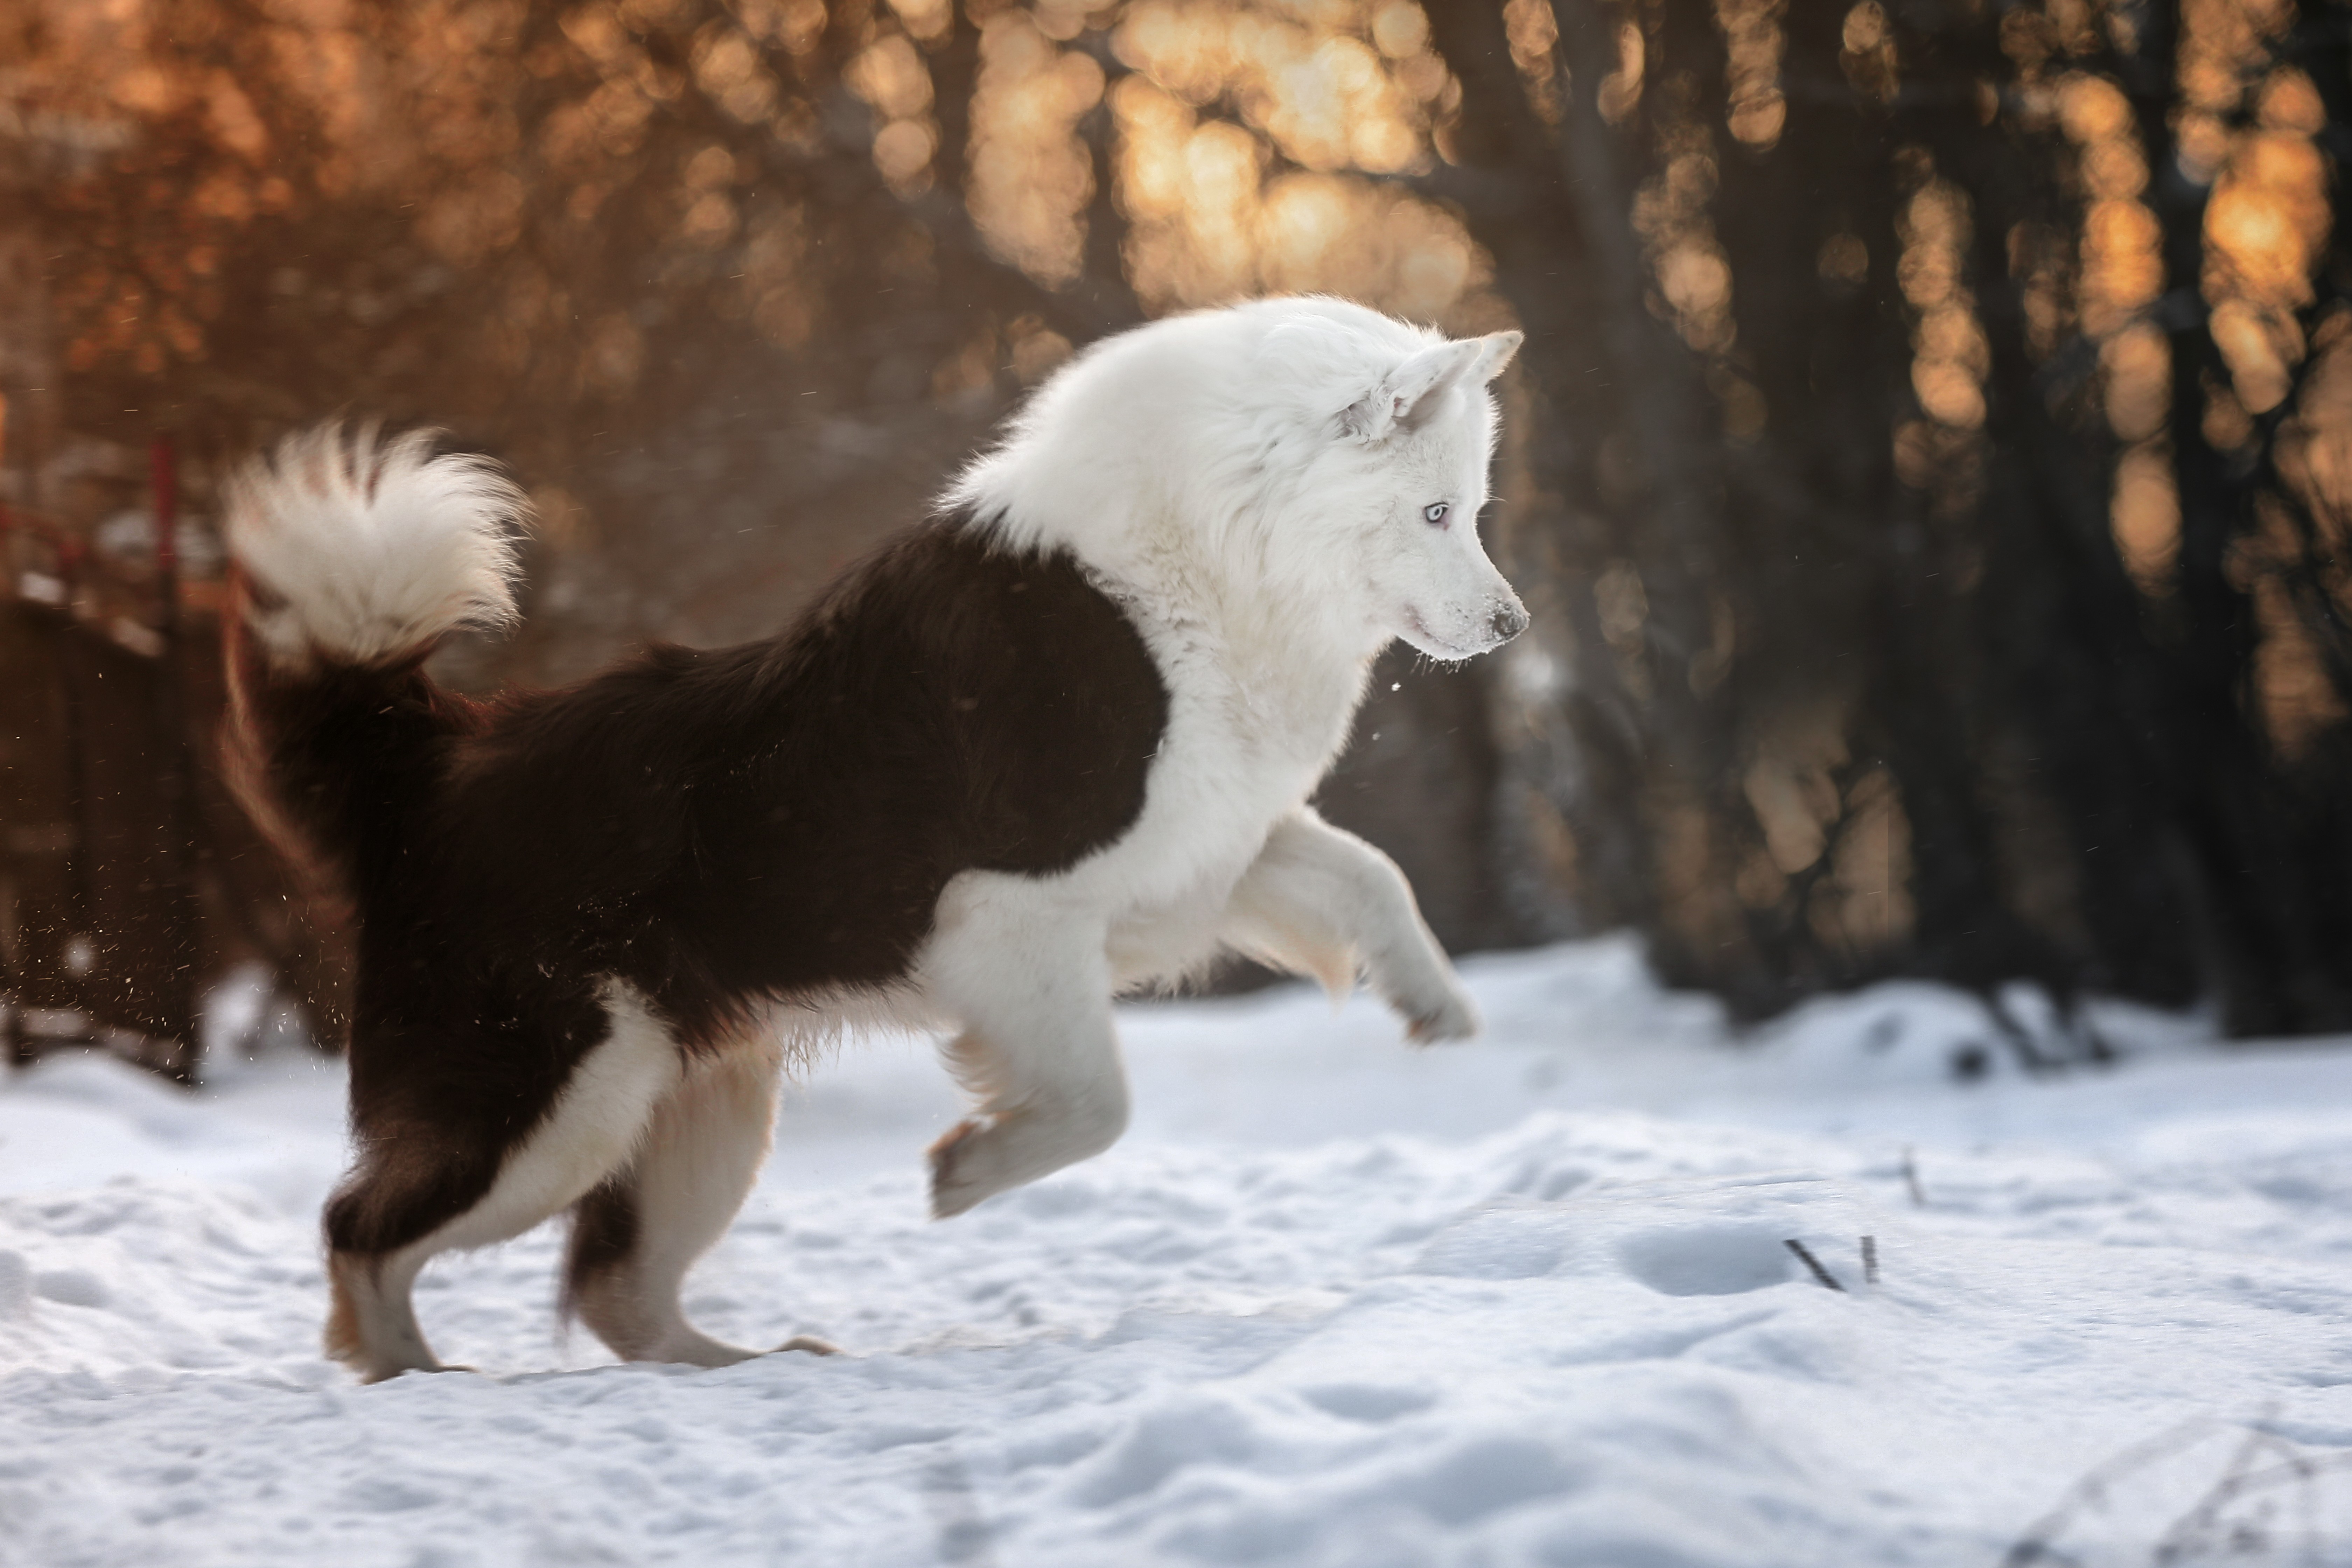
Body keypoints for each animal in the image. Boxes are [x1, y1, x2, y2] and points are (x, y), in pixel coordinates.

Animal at [224, 291, 1524, 1373]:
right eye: (1436, 510)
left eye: (1469, 510)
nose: (1513, 626)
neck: (1212, 551)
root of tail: (428, 773)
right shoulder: (1013, 910)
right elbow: (1099, 1103)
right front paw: (970, 1170)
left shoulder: (1205, 848)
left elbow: (1370, 875)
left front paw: (1438, 1006)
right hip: (555, 1097)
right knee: (365, 1231)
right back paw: (410, 1377)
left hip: (697, 1105)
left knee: (616, 1289)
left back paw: (740, 1369)